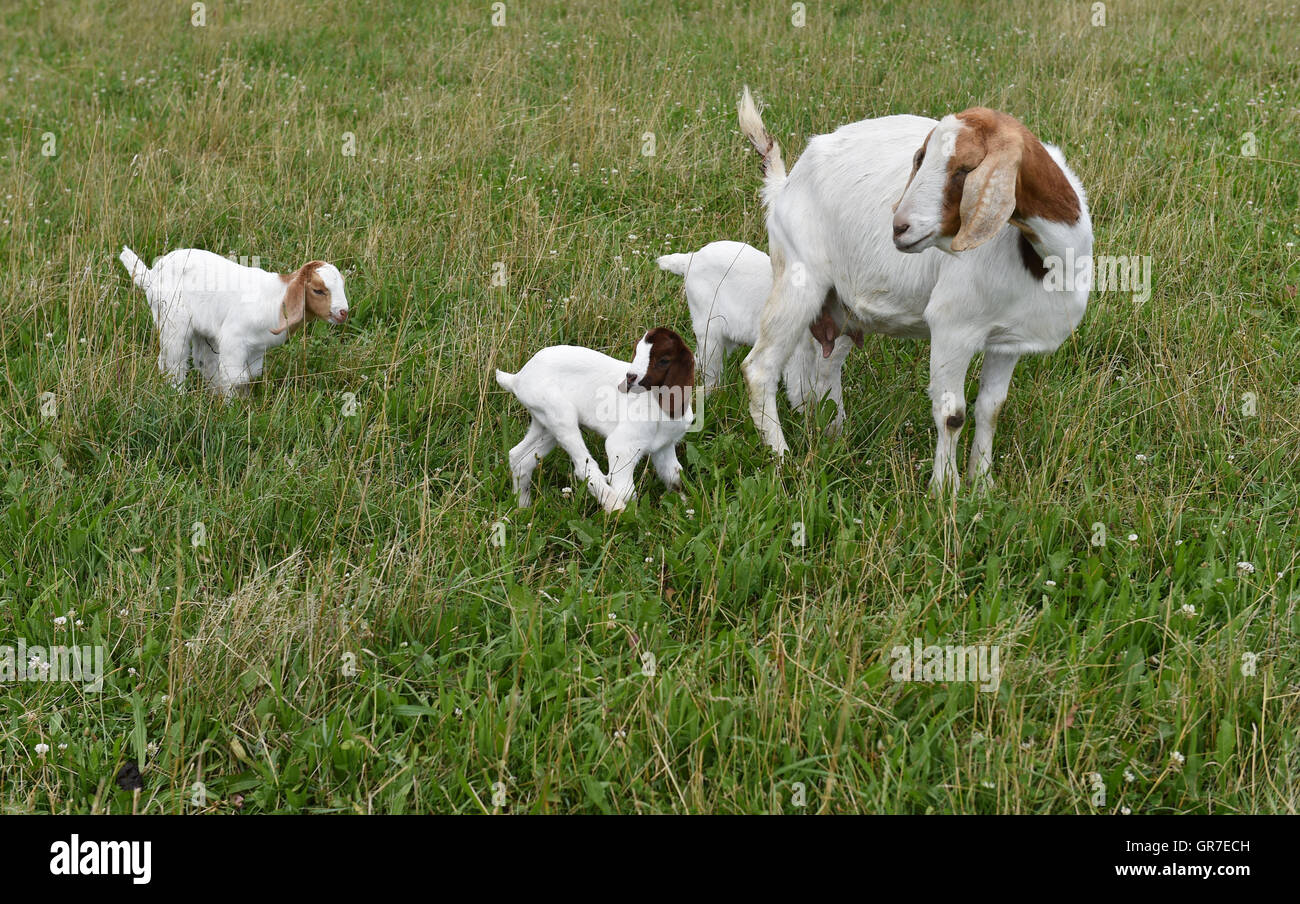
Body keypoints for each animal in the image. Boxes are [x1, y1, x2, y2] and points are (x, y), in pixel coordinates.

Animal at [119, 247, 349, 397]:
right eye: (318, 290)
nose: (343, 312)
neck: (276, 300)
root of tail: (151, 275)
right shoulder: (234, 340)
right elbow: (235, 377)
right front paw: (230, 407)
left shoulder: (256, 350)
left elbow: (251, 375)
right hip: (173, 321)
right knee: (175, 362)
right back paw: (178, 394)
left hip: (198, 330)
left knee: (194, 360)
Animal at [496, 328, 694, 512]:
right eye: (637, 352)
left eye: (664, 360)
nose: (630, 378)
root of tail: (518, 378)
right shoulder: (623, 446)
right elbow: (626, 490)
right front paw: (631, 517)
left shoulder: (664, 446)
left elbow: (675, 477)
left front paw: (685, 508)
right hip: (560, 415)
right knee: (585, 468)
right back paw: (615, 508)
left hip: (544, 422)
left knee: (520, 457)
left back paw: (522, 507)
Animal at [657, 240, 859, 433]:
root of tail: (692, 257)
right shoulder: (797, 361)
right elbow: (802, 396)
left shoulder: (829, 365)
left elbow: (833, 401)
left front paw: (837, 436)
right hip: (708, 331)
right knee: (710, 377)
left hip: (726, 338)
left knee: (698, 360)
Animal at [736, 88, 1092, 491]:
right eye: (920, 159)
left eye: (966, 168)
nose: (900, 227)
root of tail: (785, 185)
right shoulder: (953, 326)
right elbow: (952, 413)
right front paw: (945, 490)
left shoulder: (1007, 339)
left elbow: (991, 408)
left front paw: (983, 483)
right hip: (798, 278)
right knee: (760, 367)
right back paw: (781, 459)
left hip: (839, 305)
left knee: (825, 368)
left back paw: (834, 436)